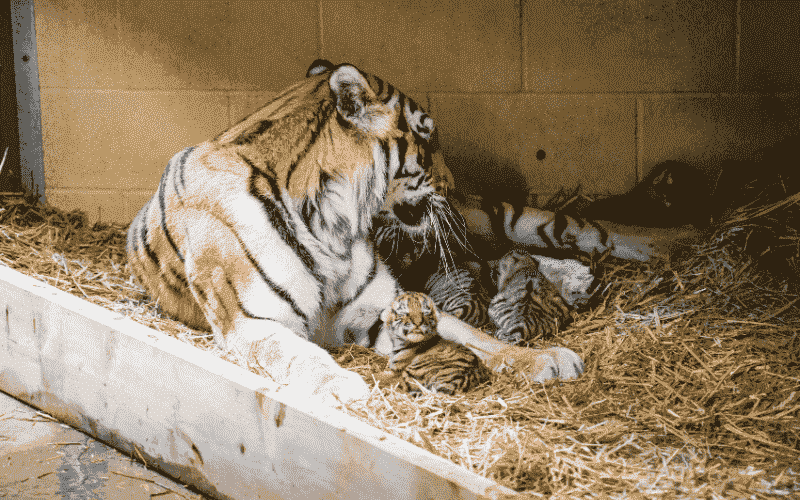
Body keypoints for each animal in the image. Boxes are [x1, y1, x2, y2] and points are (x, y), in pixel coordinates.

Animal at [126, 59, 584, 409]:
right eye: (427, 137)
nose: (453, 185)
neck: (331, 223)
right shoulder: (251, 321)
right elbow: (296, 352)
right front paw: (339, 385)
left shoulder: (381, 306)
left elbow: (474, 336)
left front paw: (547, 359)